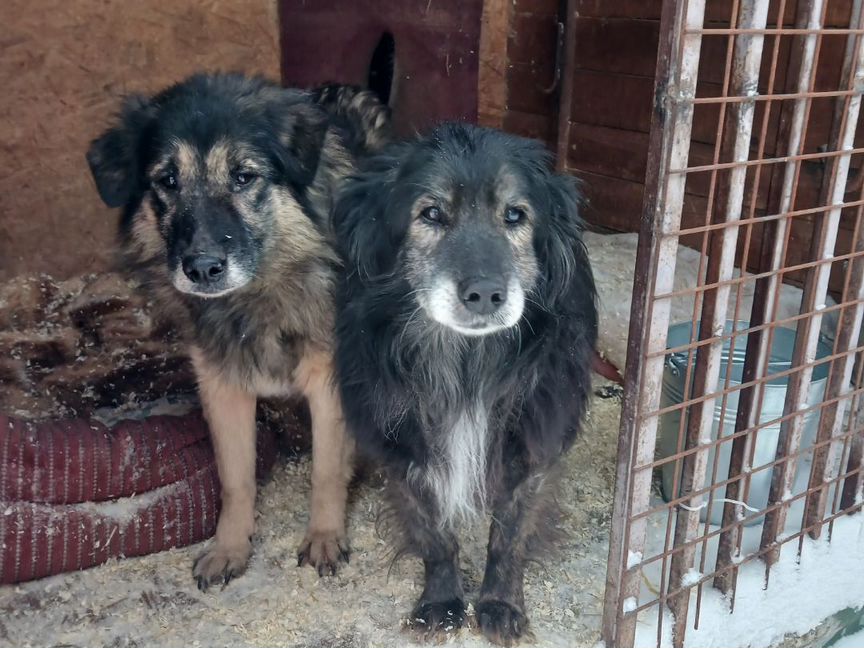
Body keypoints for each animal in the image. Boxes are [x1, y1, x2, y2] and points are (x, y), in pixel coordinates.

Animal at [86, 73, 390, 588]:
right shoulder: (220, 384)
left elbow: (326, 470)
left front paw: (324, 537)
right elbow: (235, 477)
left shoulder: (328, 380)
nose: (202, 268)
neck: (254, 299)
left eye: (244, 177)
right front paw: (229, 547)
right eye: (167, 181)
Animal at [334, 124, 596, 644]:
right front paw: (441, 601)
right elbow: (435, 535)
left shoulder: (532, 447)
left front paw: (499, 603)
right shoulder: (406, 449)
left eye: (515, 215)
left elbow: (508, 535)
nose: (486, 293)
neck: (466, 362)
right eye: (431, 214)